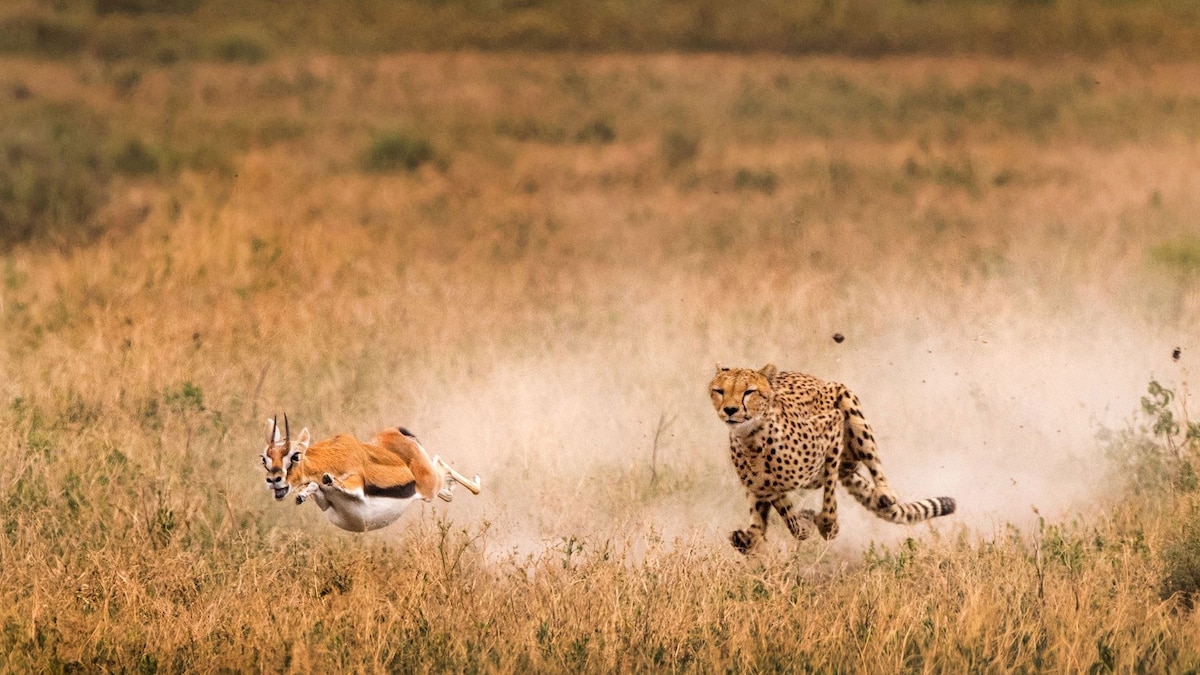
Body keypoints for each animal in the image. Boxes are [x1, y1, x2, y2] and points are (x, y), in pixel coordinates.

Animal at [710, 363, 956, 554]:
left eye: (749, 391)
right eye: (719, 391)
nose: (730, 410)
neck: (753, 439)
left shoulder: (833, 427)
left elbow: (828, 497)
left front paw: (828, 526)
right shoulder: (765, 488)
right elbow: (788, 514)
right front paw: (803, 523)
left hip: (846, 402)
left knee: (872, 462)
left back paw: (884, 492)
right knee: (759, 522)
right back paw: (748, 538)